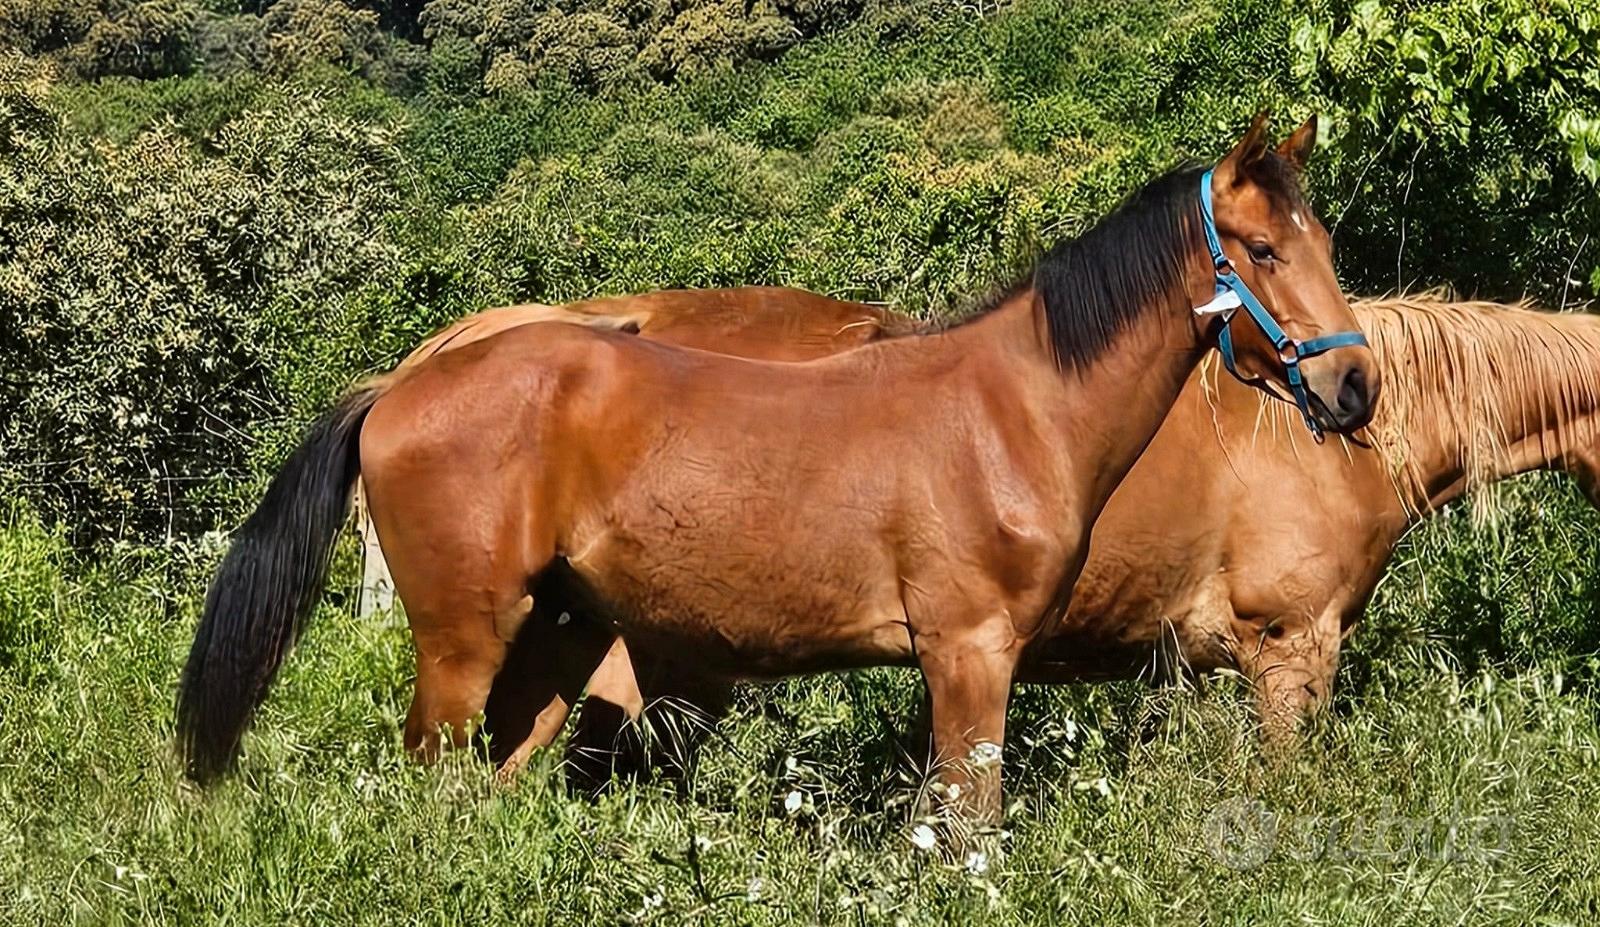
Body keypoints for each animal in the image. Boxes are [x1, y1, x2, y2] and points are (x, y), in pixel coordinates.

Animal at [177, 115, 1379, 824]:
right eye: (1260, 250)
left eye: (1322, 242)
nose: (1356, 386)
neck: (1011, 412)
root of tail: (398, 387)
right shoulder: (968, 653)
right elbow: (968, 830)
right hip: (466, 642)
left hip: (556, 637)